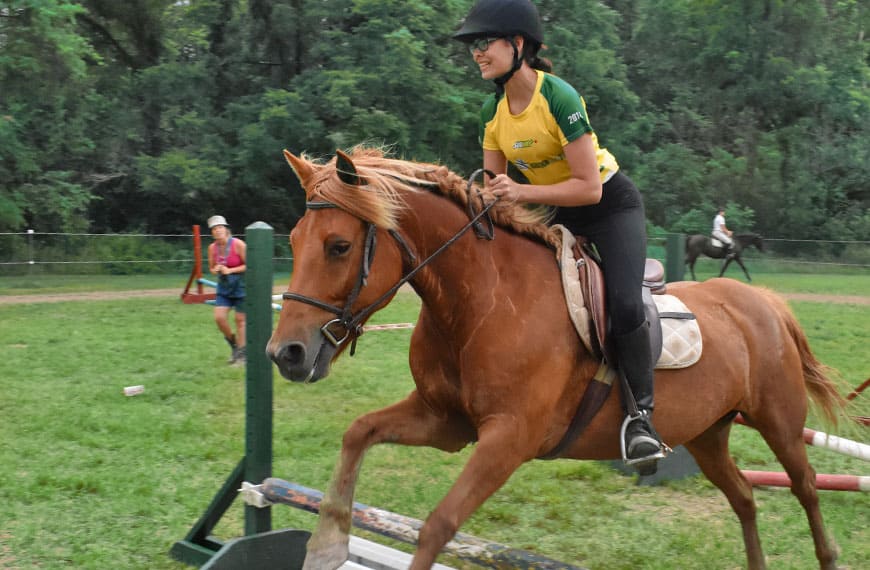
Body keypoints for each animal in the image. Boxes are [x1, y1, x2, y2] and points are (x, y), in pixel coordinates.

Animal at [267, 147, 845, 570]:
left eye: (339, 246)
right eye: (292, 241)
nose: (285, 354)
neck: (481, 300)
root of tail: (763, 301)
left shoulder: (509, 438)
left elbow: (438, 526)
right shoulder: (446, 422)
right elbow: (357, 433)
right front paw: (325, 545)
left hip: (779, 422)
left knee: (807, 487)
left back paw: (828, 554)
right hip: (707, 433)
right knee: (745, 496)